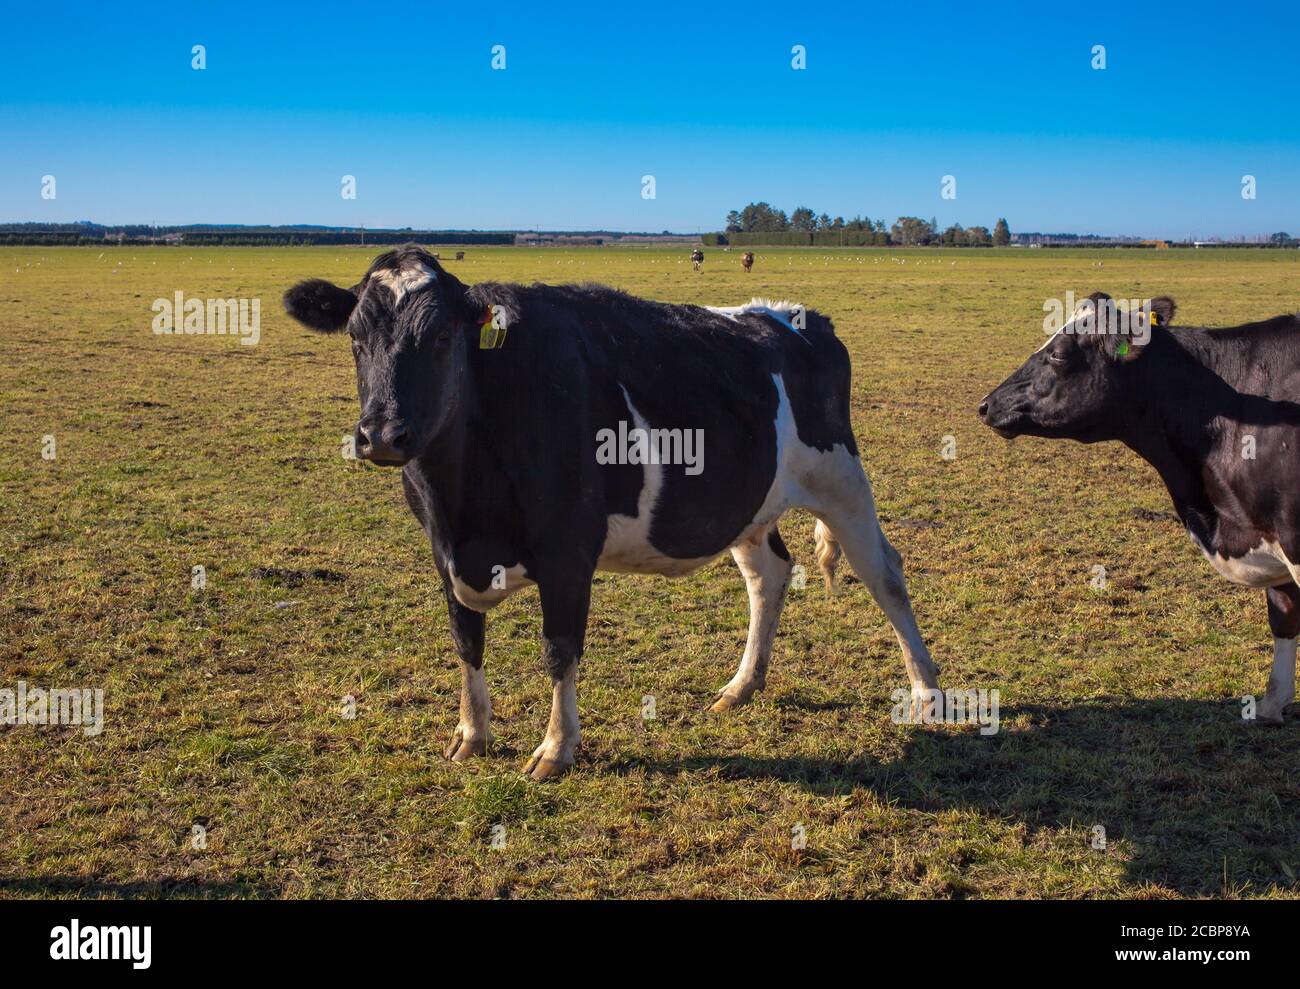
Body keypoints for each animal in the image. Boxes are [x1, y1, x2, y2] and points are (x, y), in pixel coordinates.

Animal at [284, 245, 941, 778]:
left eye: (443, 338)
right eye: (355, 339)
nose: (382, 435)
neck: (465, 505)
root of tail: (791, 314)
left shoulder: (569, 550)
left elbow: (559, 649)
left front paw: (555, 749)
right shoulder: (442, 551)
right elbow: (465, 641)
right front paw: (471, 736)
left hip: (842, 480)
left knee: (886, 575)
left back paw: (927, 693)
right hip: (750, 505)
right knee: (768, 577)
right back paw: (741, 686)